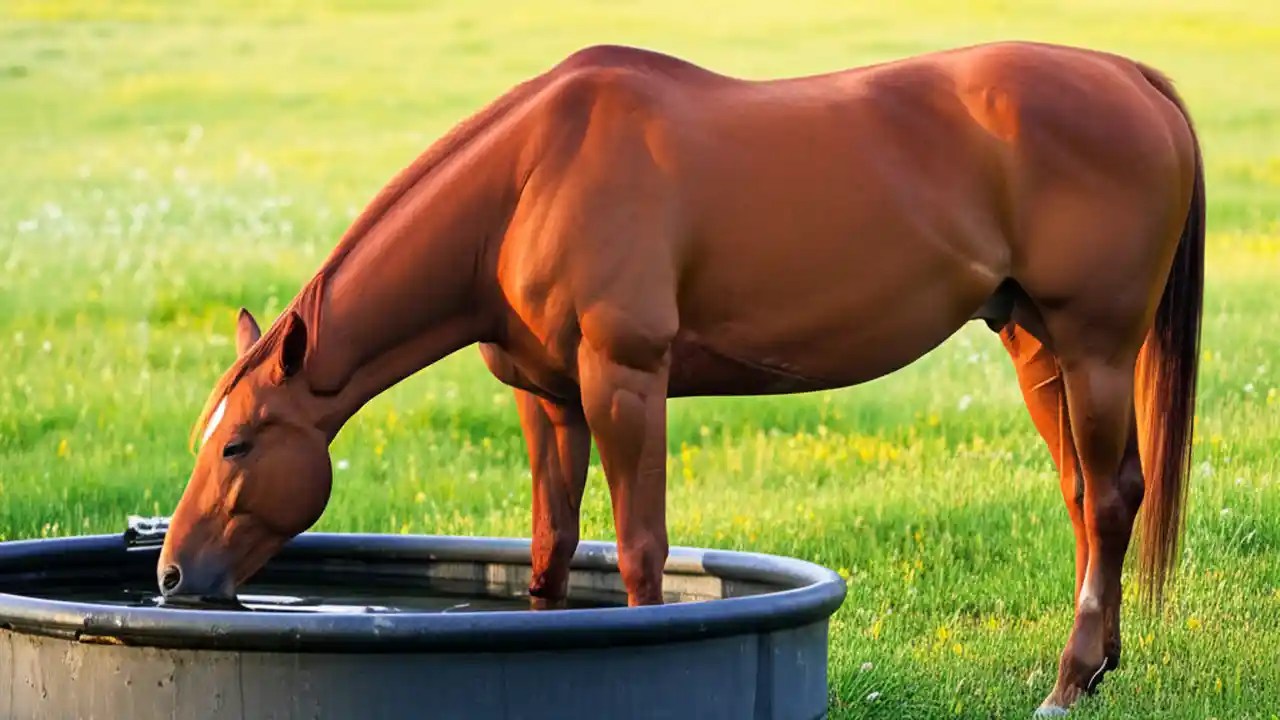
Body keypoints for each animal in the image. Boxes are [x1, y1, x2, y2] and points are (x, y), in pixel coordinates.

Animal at [157, 41, 1203, 715]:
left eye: (239, 444)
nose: (171, 574)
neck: (529, 182)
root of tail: (1132, 78)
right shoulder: (549, 402)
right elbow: (550, 552)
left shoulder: (625, 383)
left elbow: (637, 551)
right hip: (1037, 348)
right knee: (1085, 497)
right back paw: (1099, 667)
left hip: (1094, 347)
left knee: (1114, 497)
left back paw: (1067, 680)